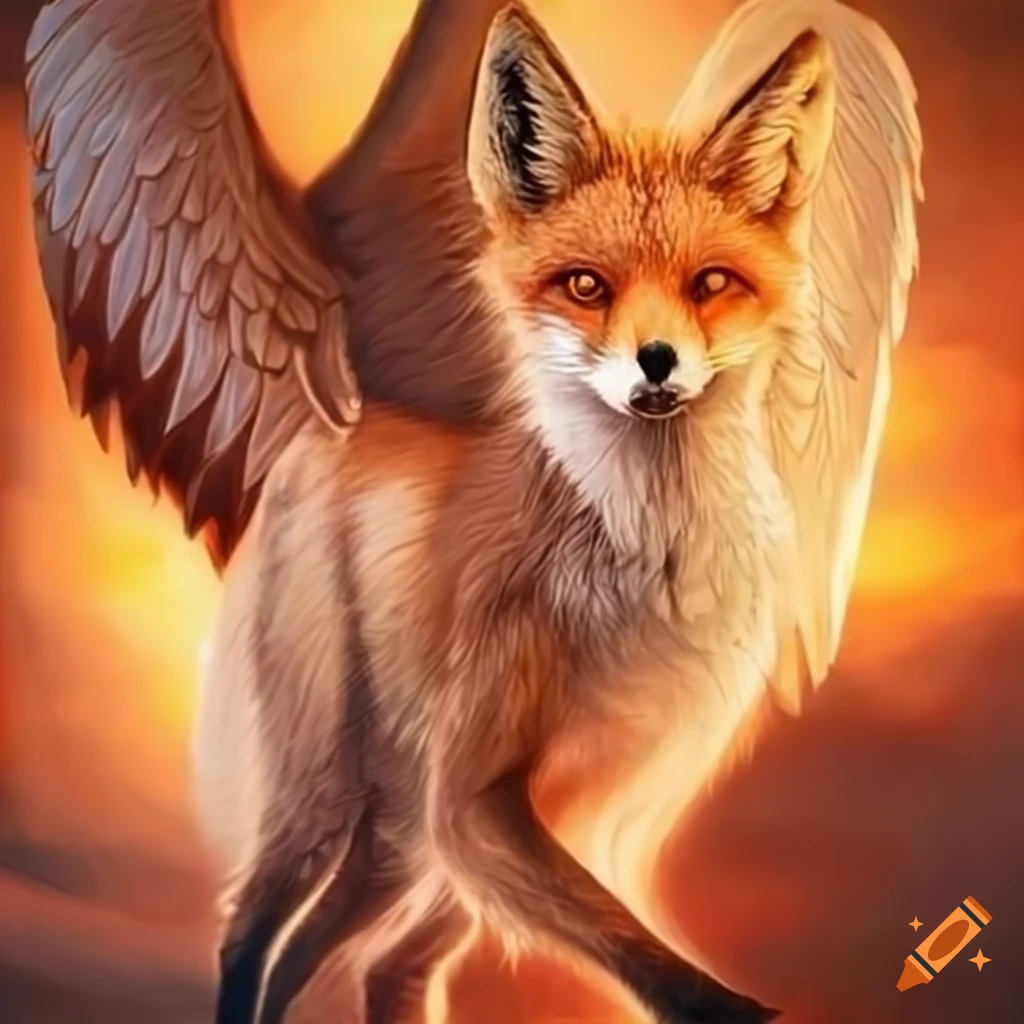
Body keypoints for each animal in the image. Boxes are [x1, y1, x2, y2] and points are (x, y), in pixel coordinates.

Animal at [190, 6, 847, 1024]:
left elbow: (591, 921)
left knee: (353, 957)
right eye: (586, 285)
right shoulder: (473, 797)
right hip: (323, 797)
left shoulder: (566, 795)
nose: (656, 362)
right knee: (248, 932)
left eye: (710, 283)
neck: (648, 564)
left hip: (396, 841)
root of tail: (337, 428)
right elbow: (628, 941)